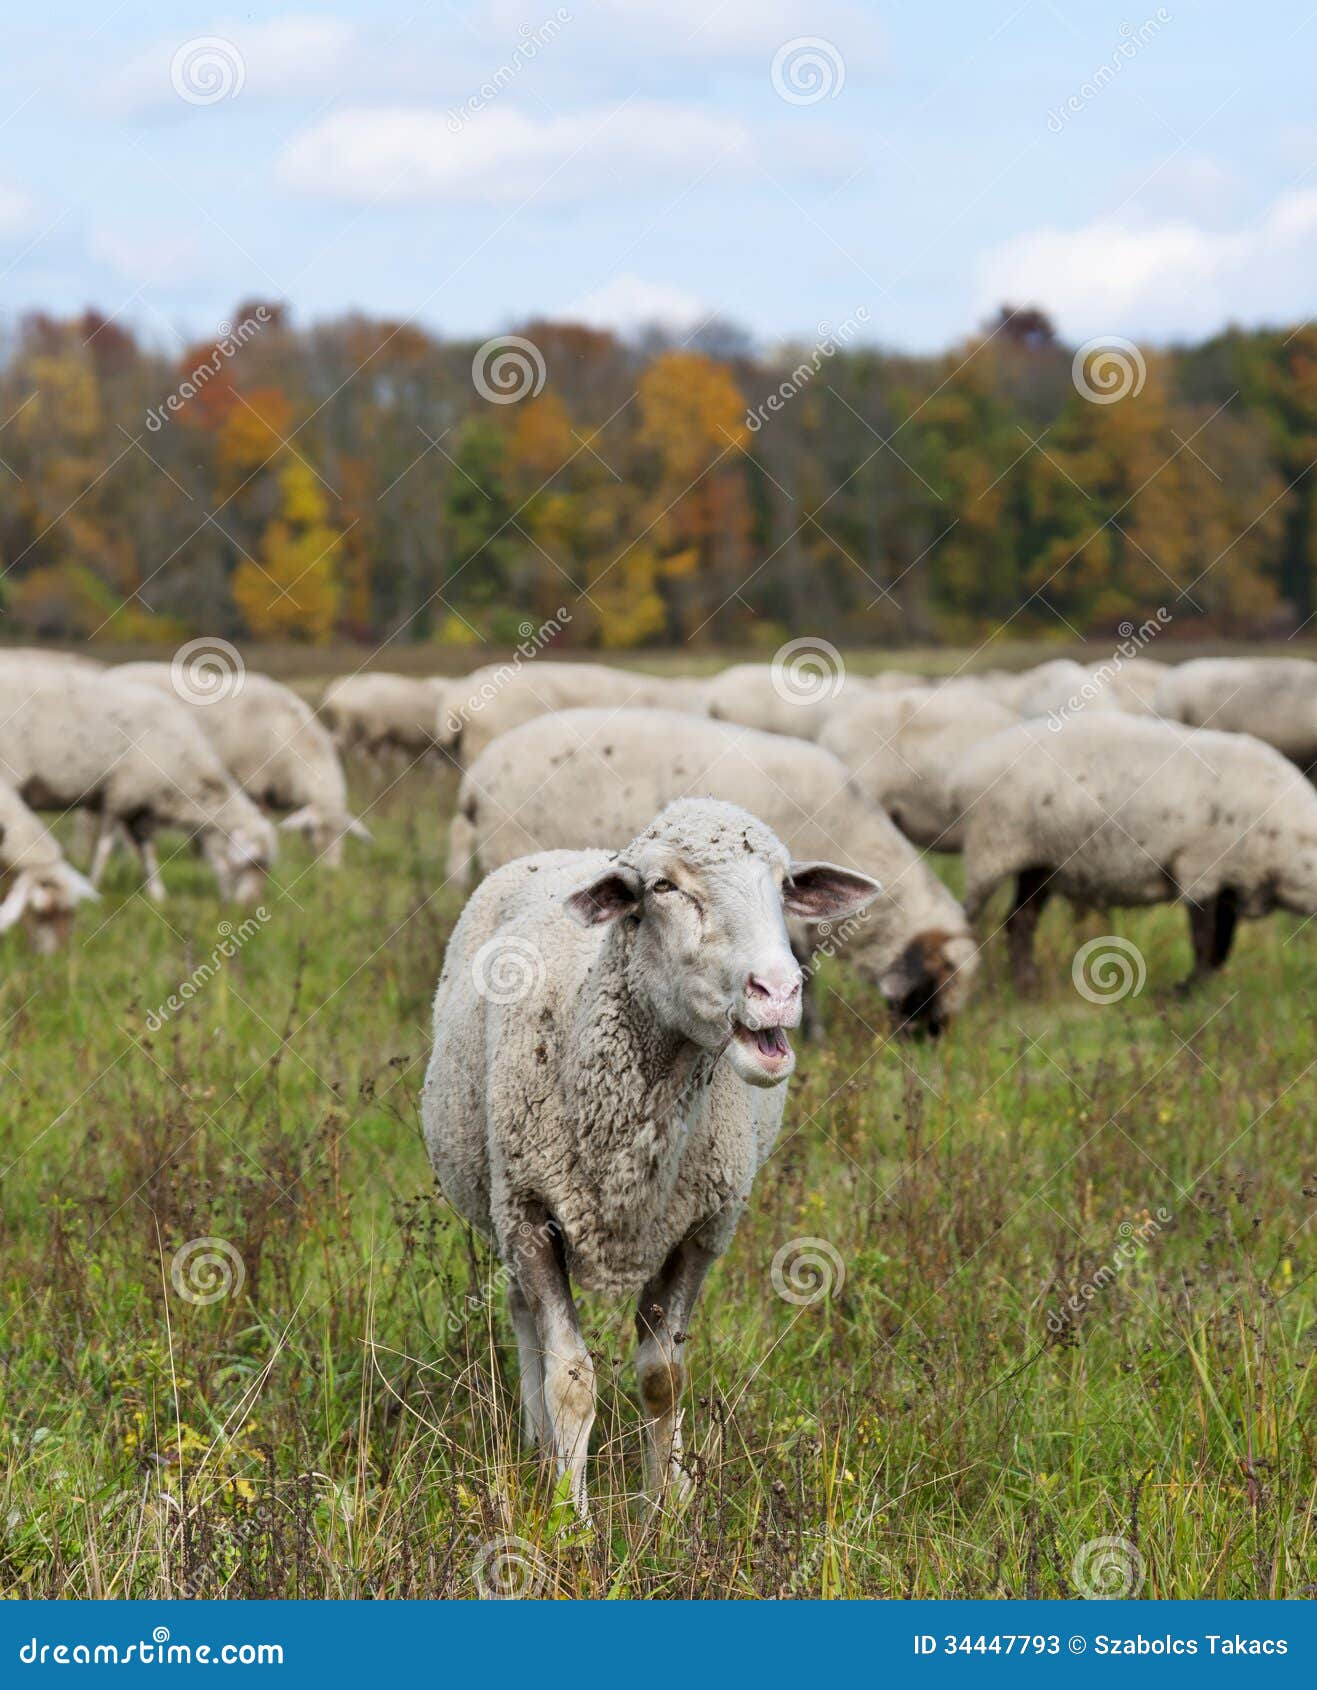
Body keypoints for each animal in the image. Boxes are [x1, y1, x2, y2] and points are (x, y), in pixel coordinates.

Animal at [0, 669, 276, 903]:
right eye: (252, 863)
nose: (250, 905)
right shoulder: (121, 794)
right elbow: (105, 847)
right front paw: (96, 884)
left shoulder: (139, 807)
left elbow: (147, 851)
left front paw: (158, 894)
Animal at [421, 796, 879, 1513]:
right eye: (663, 887)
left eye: (783, 887)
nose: (778, 992)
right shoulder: (529, 1212)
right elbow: (571, 1378)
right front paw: (568, 1515)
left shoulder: (700, 1230)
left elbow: (665, 1376)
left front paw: (667, 1507)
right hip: (500, 1200)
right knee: (524, 1317)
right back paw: (535, 1443)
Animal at [450, 708, 980, 1034]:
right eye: (940, 980)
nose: (930, 1043)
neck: (850, 830)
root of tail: (475, 782)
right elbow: (803, 971)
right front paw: (813, 1032)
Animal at [951, 714, 1317, 991]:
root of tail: (970, 765)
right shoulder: (1200, 868)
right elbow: (1205, 940)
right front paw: (1191, 992)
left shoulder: (1232, 879)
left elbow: (1222, 944)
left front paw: (1203, 987)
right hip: (991, 850)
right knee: (967, 916)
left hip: (1039, 862)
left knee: (1020, 921)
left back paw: (1027, 987)